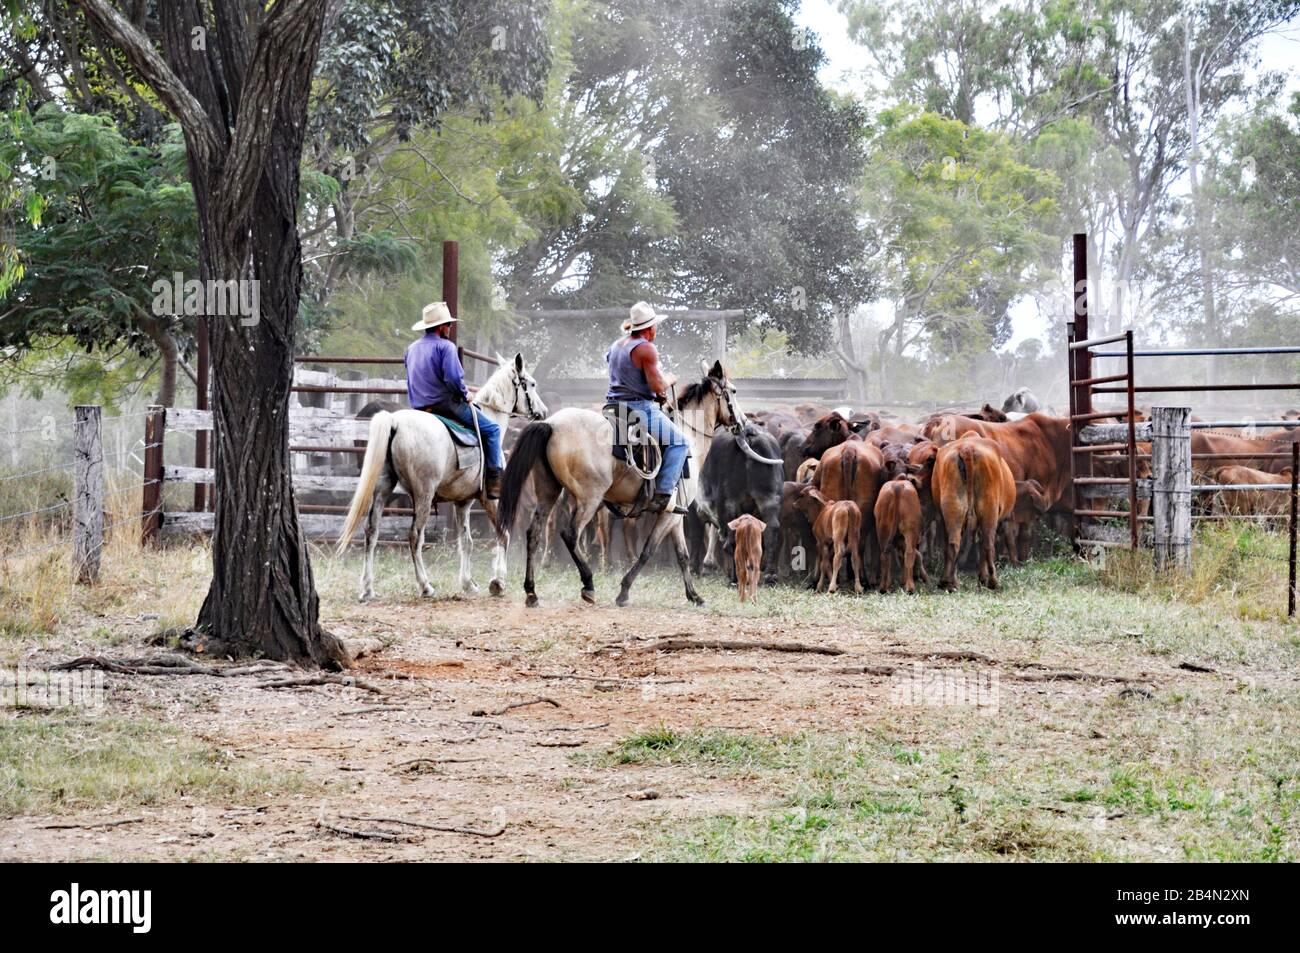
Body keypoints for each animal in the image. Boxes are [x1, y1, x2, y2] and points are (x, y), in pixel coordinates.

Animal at [933, 434, 1016, 590]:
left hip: (953, 508)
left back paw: (949, 582)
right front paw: (983, 577)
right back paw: (993, 581)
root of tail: (967, 449)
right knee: (988, 544)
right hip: (989, 510)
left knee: (953, 544)